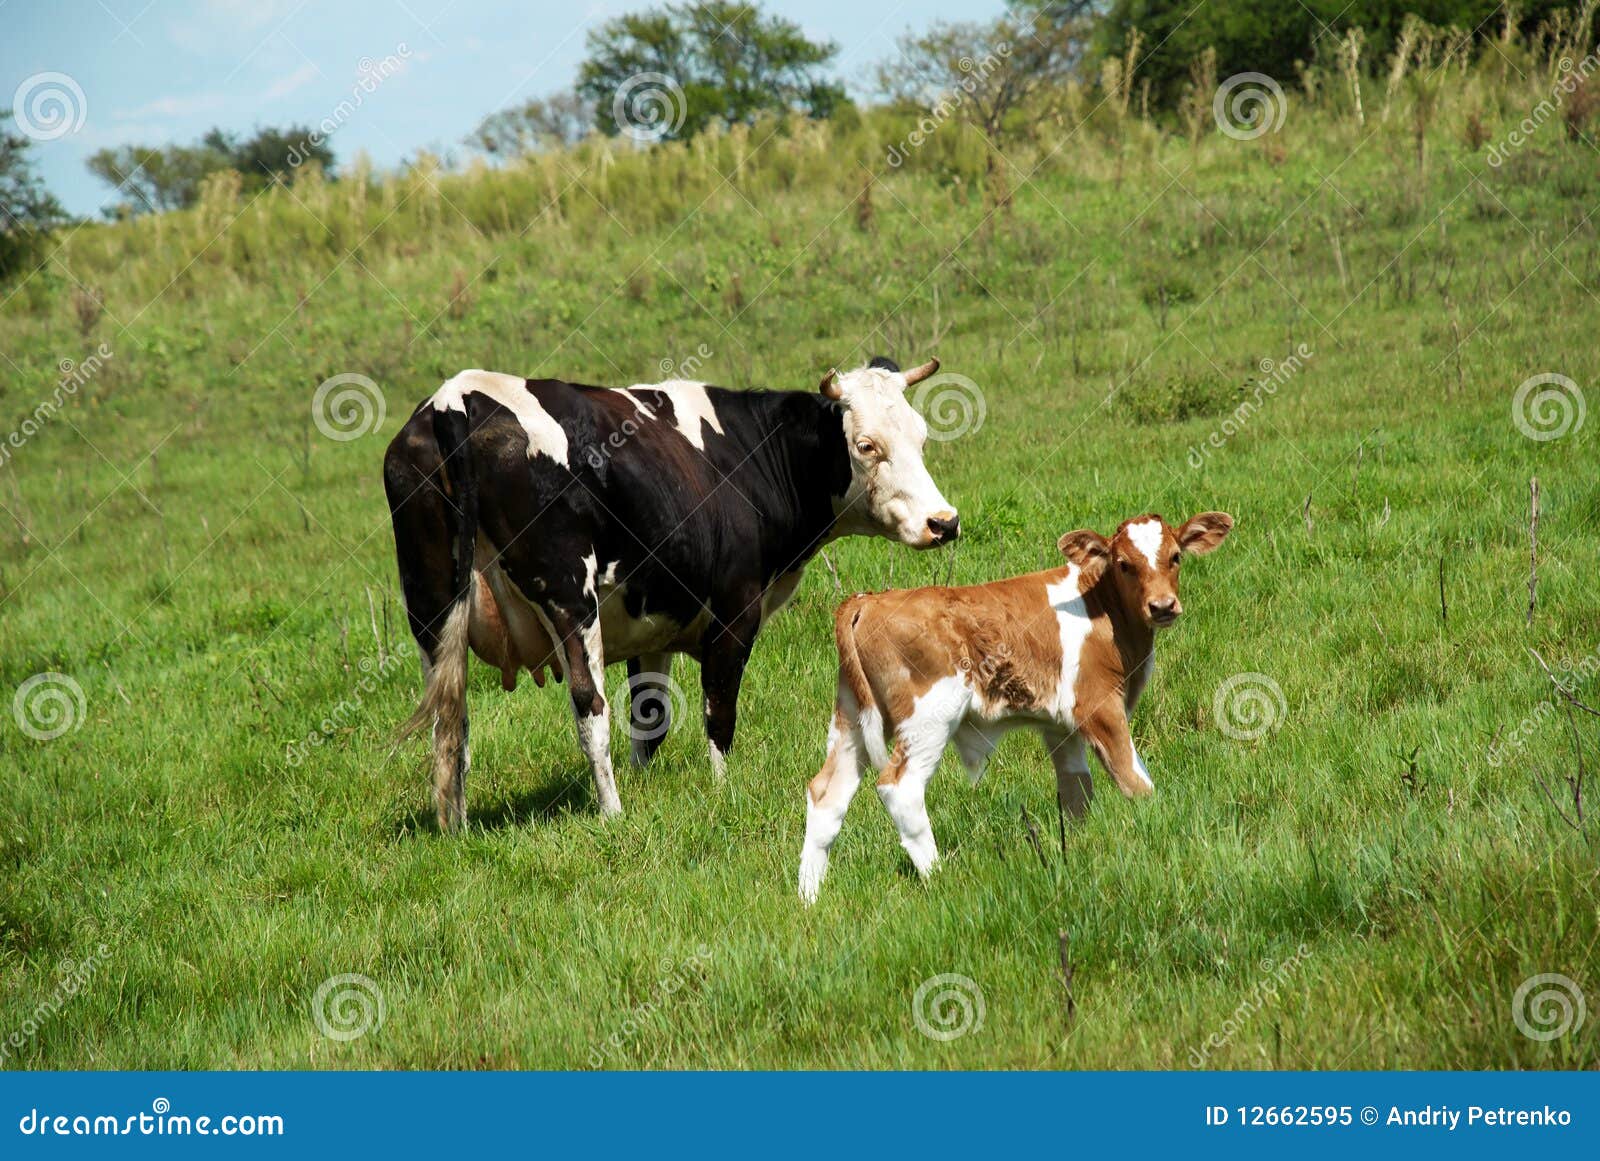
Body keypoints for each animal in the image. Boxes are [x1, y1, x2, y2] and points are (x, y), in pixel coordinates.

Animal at [383, 357, 959, 830]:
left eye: (921, 437)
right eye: (866, 445)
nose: (944, 522)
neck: (750, 454)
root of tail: (457, 397)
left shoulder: (652, 623)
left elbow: (650, 717)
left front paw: (648, 782)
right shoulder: (735, 611)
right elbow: (718, 709)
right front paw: (724, 790)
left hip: (432, 612)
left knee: (449, 721)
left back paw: (454, 828)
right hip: (570, 599)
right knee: (589, 709)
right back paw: (613, 813)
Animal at [796, 511, 1233, 903]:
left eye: (1175, 556)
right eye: (1124, 564)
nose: (1163, 606)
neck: (1103, 606)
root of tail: (867, 600)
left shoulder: (1060, 726)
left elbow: (1076, 790)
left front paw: (1075, 849)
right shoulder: (1098, 706)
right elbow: (1134, 780)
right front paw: (1156, 833)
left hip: (852, 718)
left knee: (826, 795)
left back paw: (808, 898)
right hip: (928, 719)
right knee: (900, 788)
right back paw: (940, 878)